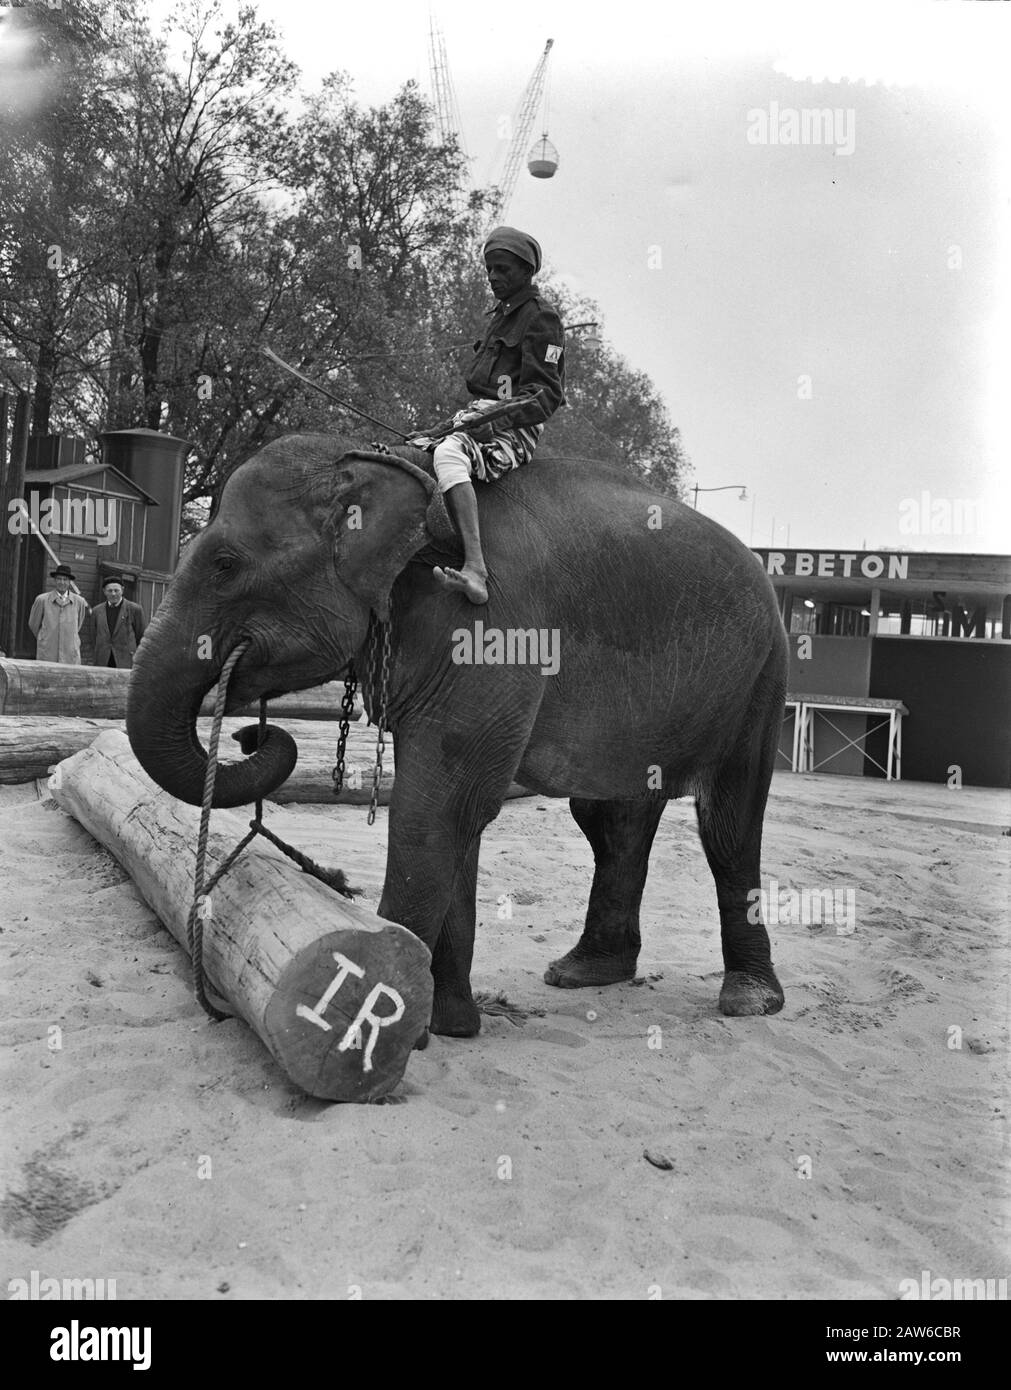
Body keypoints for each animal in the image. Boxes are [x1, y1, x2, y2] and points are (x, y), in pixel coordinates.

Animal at [126, 436, 788, 1038]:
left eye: (225, 565)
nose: (250, 735)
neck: (391, 462)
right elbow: (456, 812)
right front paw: (449, 1026)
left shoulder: (493, 626)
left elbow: (437, 807)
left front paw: (382, 1024)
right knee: (611, 821)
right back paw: (583, 973)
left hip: (760, 678)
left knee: (727, 824)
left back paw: (749, 1000)